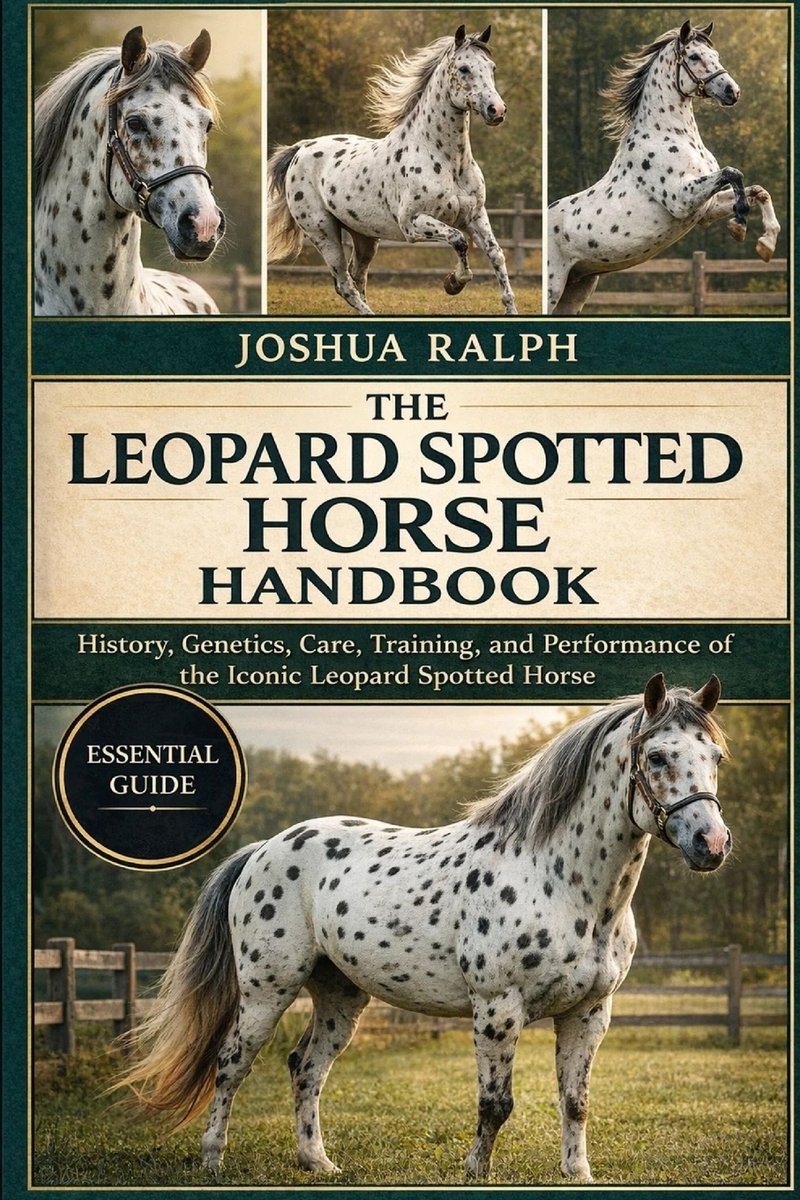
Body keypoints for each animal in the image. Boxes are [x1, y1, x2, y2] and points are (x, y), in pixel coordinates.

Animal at [116, 673, 732, 1184]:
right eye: (657, 756)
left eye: (716, 757)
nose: (712, 844)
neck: (563, 883)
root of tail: (263, 848)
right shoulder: (497, 1008)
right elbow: (495, 1105)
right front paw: (475, 1172)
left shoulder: (589, 1012)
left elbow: (575, 1101)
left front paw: (577, 1173)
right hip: (267, 991)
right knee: (231, 1066)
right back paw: (213, 1160)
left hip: (340, 996)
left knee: (305, 1069)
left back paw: (317, 1162)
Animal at [267, 25, 518, 316]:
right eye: (464, 68)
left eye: (492, 67)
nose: (497, 110)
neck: (448, 162)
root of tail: (301, 148)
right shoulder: (412, 224)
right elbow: (459, 240)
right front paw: (454, 282)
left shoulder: (475, 215)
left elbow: (495, 253)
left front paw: (510, 308)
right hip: (323, 233)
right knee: (344, 283)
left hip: (364, 236)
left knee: (357, 276)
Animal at [547, 21, 780, 314]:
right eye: (695, 57)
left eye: (716, 56)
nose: (733, 92)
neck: (669, 133)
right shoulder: (681, 199)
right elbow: (733, 173)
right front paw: (738, 225)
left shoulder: (705, 209)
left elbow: (758, 190)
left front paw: (766, 244)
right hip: (553, 287)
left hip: (576, 290)